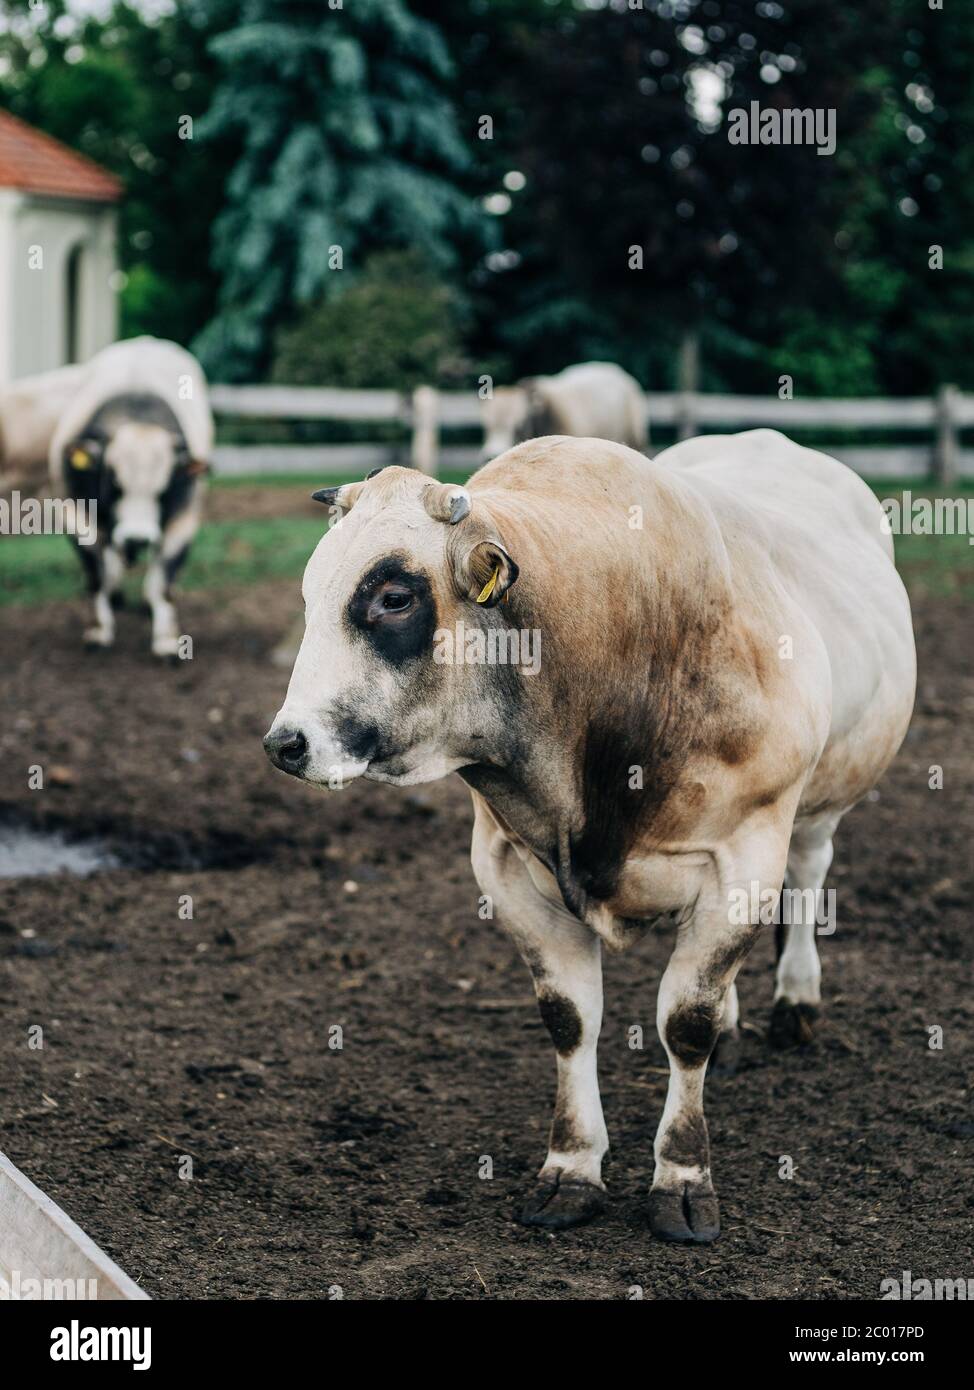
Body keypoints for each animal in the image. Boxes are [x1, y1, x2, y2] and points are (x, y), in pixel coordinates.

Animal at [48, 337, 214, 657]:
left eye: (164, 487)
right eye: (114, 482)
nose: (137, 538)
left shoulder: (184, 519)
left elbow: (164, 580)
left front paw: (166, 641)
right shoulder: (72, 511)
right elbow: (96, 573)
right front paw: (99, 630)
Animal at [263, 429, 916, 1243]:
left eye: (394, 597)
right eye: (311, 593)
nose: (287, 743)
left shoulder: (744, 855)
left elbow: (686, 1023)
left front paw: (683, 1178)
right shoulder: (510, 870)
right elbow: (572, 1021)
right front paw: (571, 1169)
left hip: (819, 803)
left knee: (808, 877)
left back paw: (797, 1001)